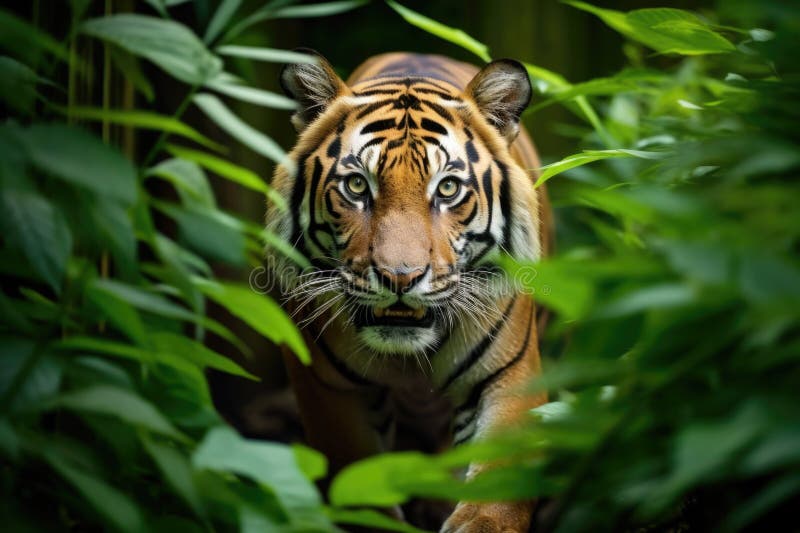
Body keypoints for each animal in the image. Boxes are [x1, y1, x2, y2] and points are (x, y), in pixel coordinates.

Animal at [266, 51, 552, 532]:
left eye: (448, 188)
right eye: (357, 185)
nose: (400, 277)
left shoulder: (509, 374)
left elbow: (500, 478)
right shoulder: (328, 388)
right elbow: (356, 485)